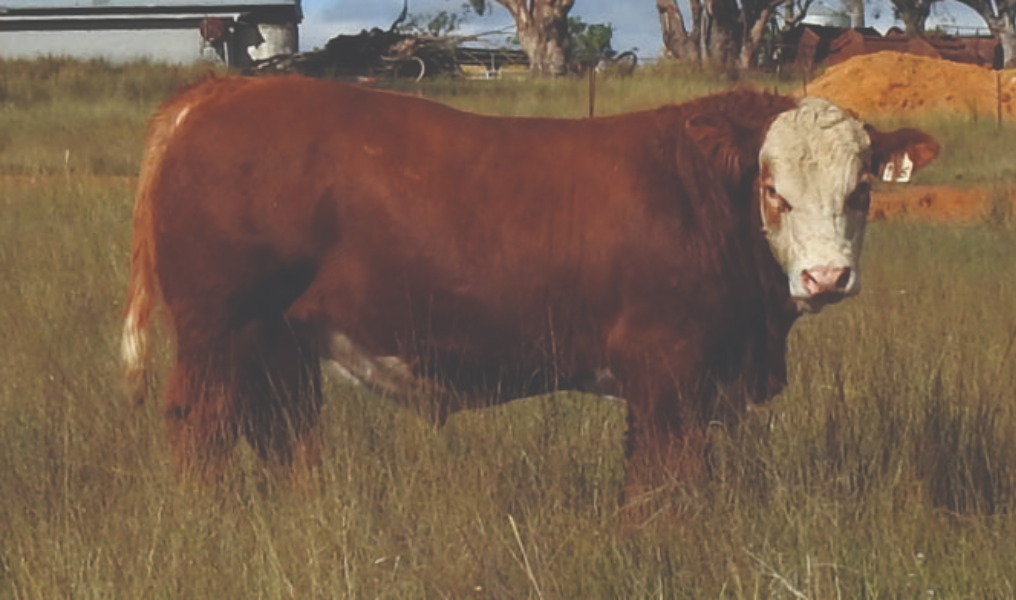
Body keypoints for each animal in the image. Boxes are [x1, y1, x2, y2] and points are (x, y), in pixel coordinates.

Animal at [120, 75, 939, 496]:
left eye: (863, 188)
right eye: (773, 190)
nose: (827, 276)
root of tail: (219, 90)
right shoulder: (668, 371)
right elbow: (665, 485)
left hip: (278, 341)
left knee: (283, 433)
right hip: (219, 330)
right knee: (200, 427)